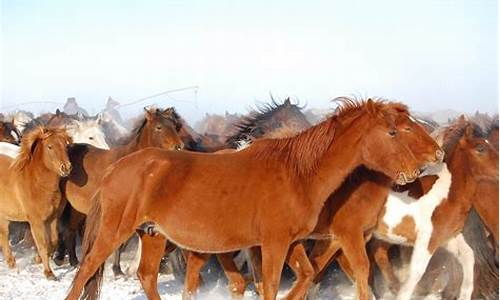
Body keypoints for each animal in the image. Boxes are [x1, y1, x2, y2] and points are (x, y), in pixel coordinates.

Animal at [54, 107, 184, 268]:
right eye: (159, 127)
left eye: (175, 127)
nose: (179, 147)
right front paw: (119, 268)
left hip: (75, 207)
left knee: (70, 230)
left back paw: (73, 261)